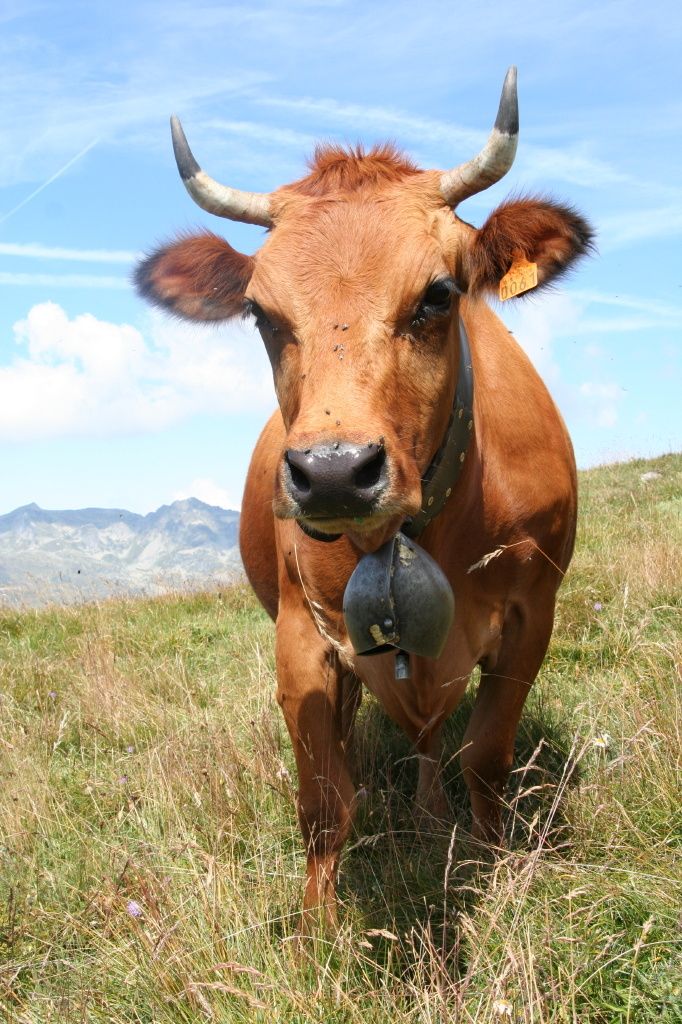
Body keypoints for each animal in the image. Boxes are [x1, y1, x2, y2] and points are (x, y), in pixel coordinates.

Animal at [136, 68, 593, 930]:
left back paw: (430, 811)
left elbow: (486, 756)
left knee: (434, 736)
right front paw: (316, 928)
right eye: (261, 313)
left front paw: (493, 862)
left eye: (440, 294)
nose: (334, 471)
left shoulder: (532, 615)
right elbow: (323, 799)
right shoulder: (300, 636)